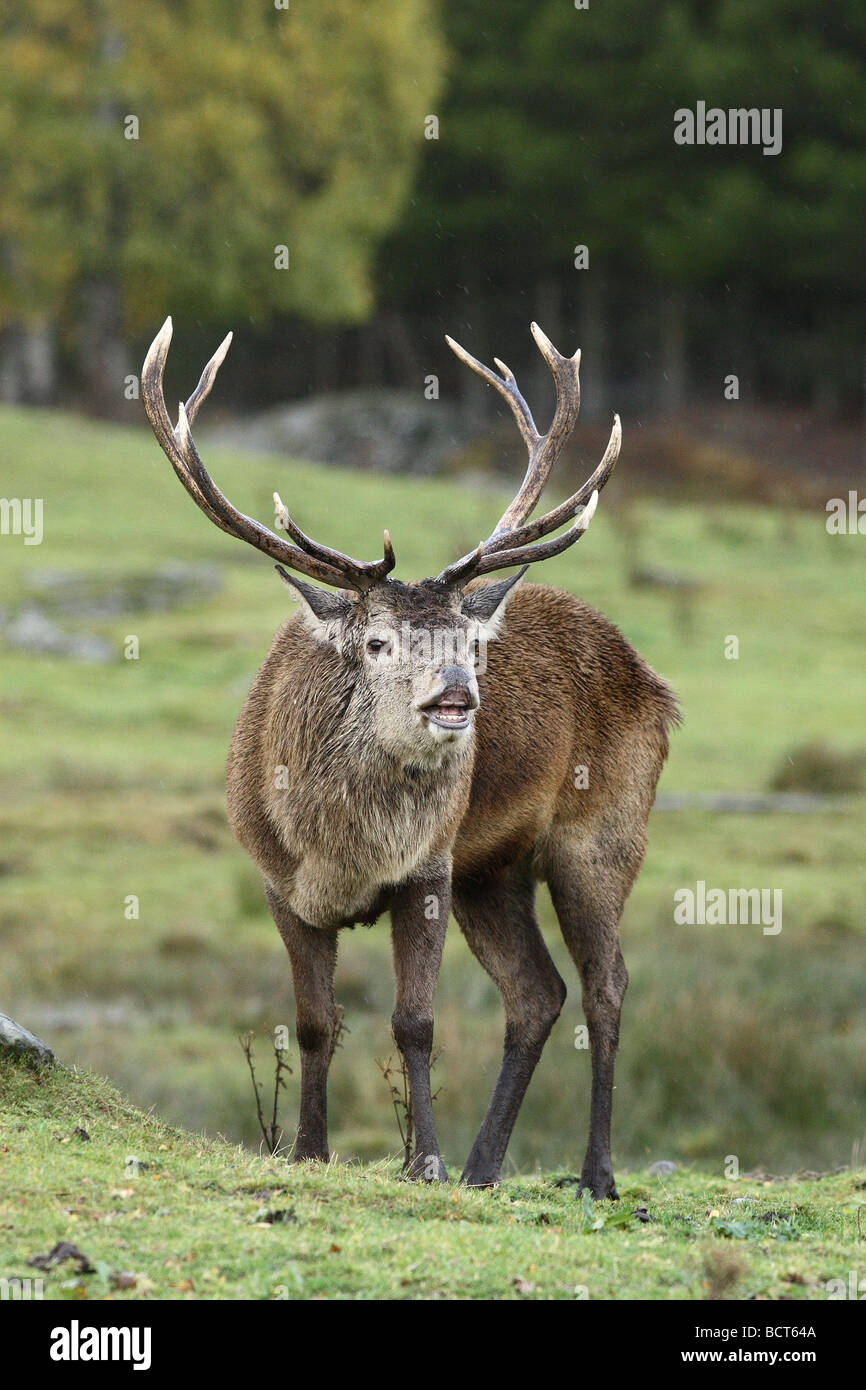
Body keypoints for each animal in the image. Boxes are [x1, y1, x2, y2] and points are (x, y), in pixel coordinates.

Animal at [142, 317, 679, 1199]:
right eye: (377, 641)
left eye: (468, 640)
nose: (457, 694)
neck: (339, 847)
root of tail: (655, 682)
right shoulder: (276, 881)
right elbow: (314, 1023)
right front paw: (310, 1150)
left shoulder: (427, 867)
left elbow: (415, 1022)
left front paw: (422, 1161)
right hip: (493, 871)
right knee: (539, 992)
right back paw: (484, 1168)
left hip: (604, 833)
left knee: (607, 986)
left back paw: (595, 1174)